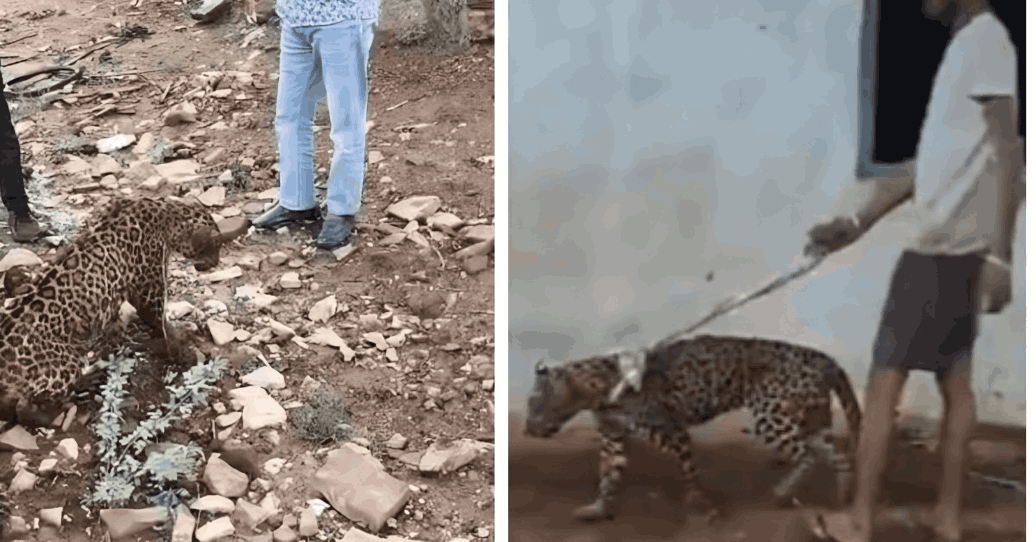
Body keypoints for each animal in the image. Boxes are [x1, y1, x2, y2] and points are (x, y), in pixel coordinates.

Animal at [0, 196, 238, 427]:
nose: (215, 263)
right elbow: (161, 322)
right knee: (24, 406)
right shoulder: (149, 290)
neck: (166, 214)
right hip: (67, 359)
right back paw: (73, 397)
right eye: (216, 244)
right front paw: (179, 345)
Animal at [525, 334, 862, 524]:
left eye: (536, 405)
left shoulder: (672, 431)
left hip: (772, 416)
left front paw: (700, 506)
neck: (595, 392)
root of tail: (820, 356)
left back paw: (782, 493)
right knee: (838, 455)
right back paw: (842, 499)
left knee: (807, 455)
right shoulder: (614, 438)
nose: (528, 430)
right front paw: (598, 510)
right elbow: (609, 477)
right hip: (811, 418)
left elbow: (689, 471)